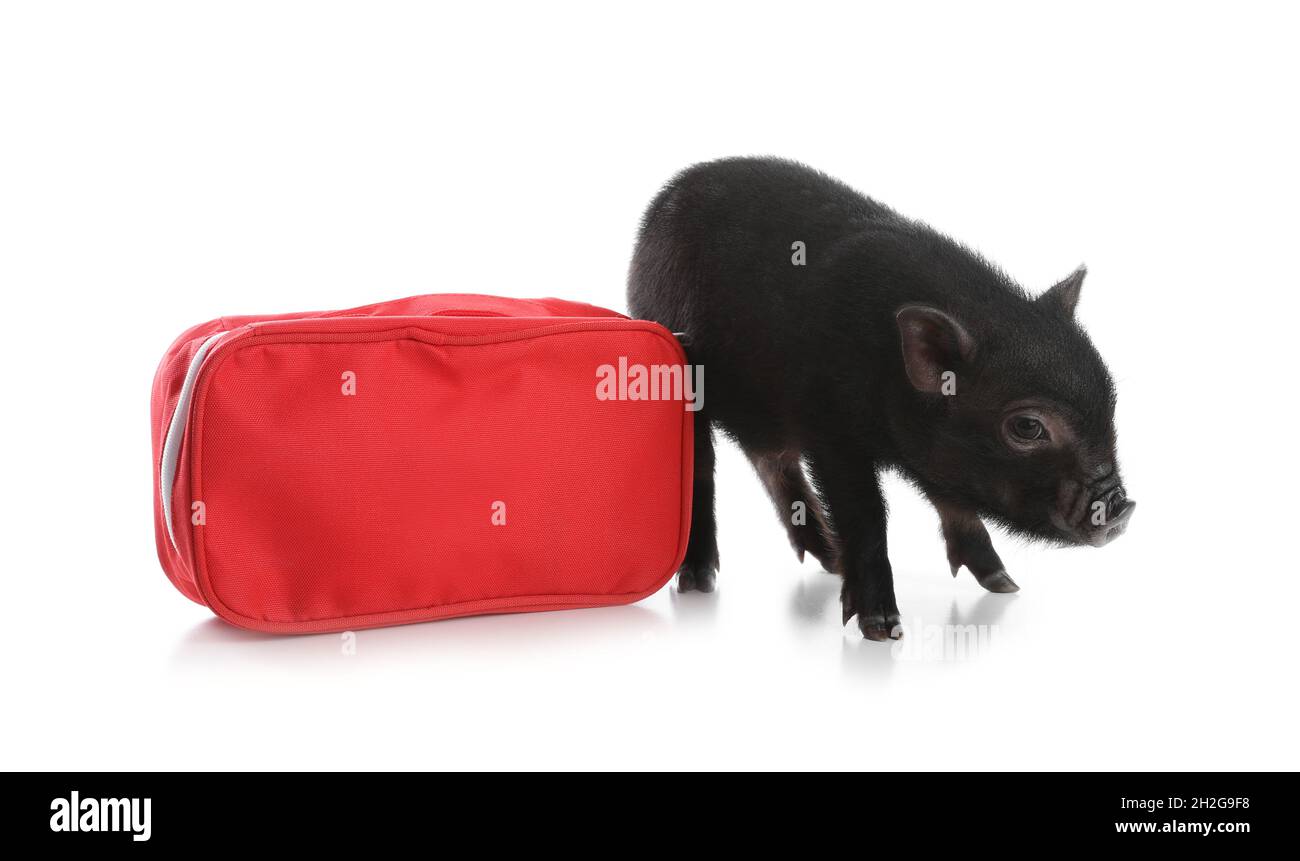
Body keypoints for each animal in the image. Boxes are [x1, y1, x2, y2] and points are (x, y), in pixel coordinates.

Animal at [627, 156, 1134, 640]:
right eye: (1028, 426)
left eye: (1110, 403)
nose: (1120, 507)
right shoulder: (832, 434)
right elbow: (867, 513)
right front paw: (882, 630)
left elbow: (954, 501)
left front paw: (1004, 585)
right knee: (704, 467)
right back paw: (699, 582)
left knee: (770, 459)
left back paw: (829, 559)